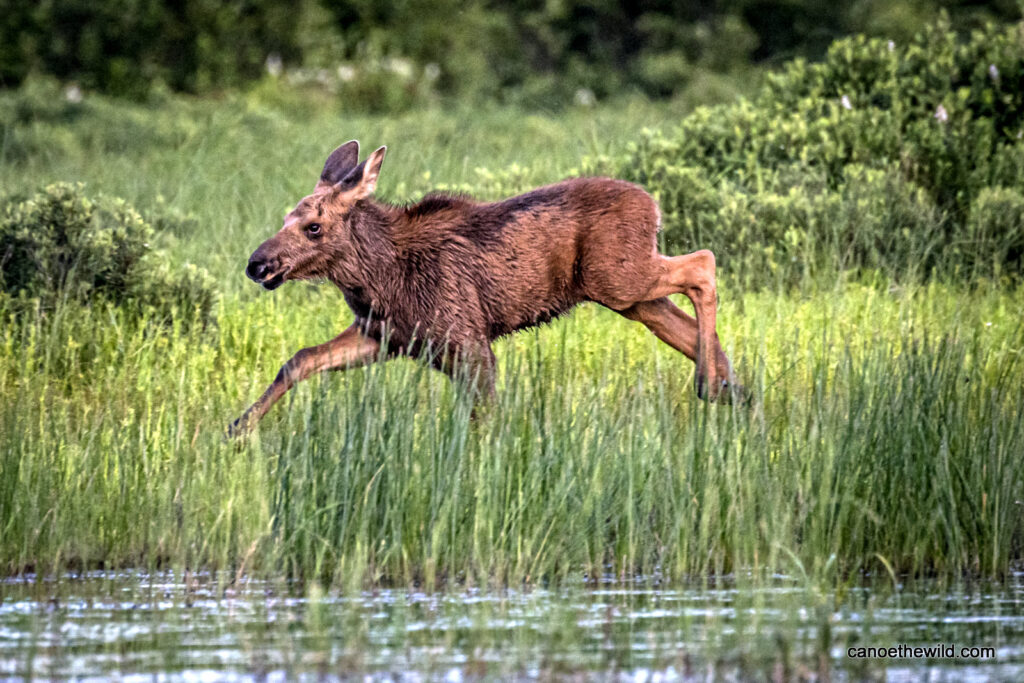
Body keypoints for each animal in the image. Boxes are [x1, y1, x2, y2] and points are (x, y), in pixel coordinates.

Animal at [229, 140, 740, 435]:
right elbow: (300, 360)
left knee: (704, 264)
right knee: (684, 320)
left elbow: (483, 419)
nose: (257, 264)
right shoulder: (385, 336)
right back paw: (728, 385)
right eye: (284, 219)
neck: (376, 277)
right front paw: (237, 427)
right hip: (630, 296)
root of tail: (652, 204)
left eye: (313, 226)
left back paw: (714, 385)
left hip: (617, 278)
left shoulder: (467, 341)